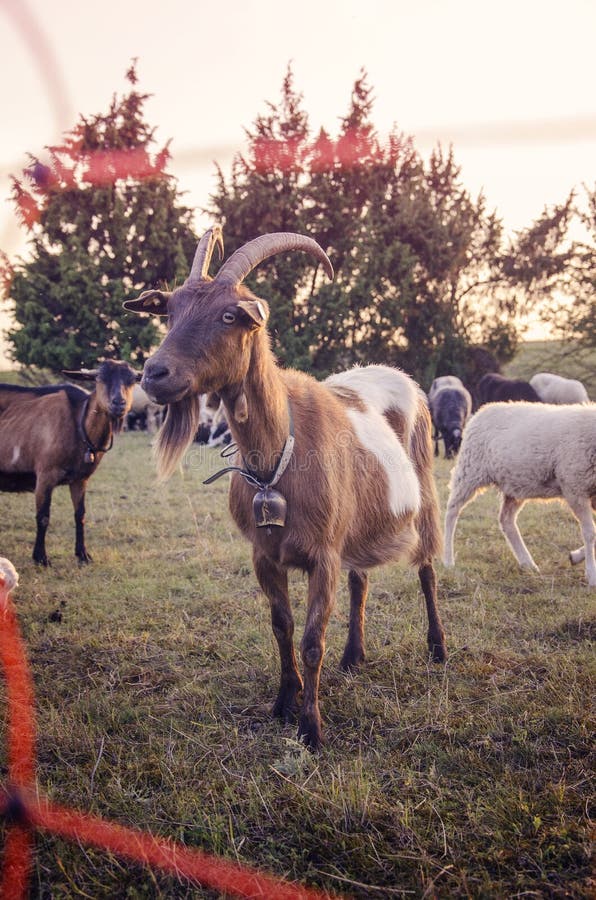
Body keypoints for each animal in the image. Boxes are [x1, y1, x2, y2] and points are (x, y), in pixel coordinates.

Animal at [0, 360, 138, 565]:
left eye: (133, 380)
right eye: (99, 379)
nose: (119, 403)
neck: (78, 422)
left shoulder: (80, 479)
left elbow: (80, 515)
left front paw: (83, 555)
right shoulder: (45, 474)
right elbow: (43, 517)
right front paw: (41, 558)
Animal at [124, 227, 447, 749]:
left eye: (229, 315)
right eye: (170, 312)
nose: (154, 374)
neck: (277, 460)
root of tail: (400, 377)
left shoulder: (323, 555)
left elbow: (312, 640)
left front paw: (311, 728)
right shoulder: (264, 555)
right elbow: (282, 627)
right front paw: (283, 701)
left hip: (425, 495)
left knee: (427, 570)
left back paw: (438, 648)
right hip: (360, 523)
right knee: (361, 580)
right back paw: (354, 656)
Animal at [443, 401, 596, 586]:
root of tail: (483, 409)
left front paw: (576, 557)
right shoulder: (574, 488)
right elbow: (590, 533)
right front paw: (592, 574)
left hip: (514, 487)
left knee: (506, 520)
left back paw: (527, 562)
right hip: (470, 471)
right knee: (452, 511)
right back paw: (448, 560)